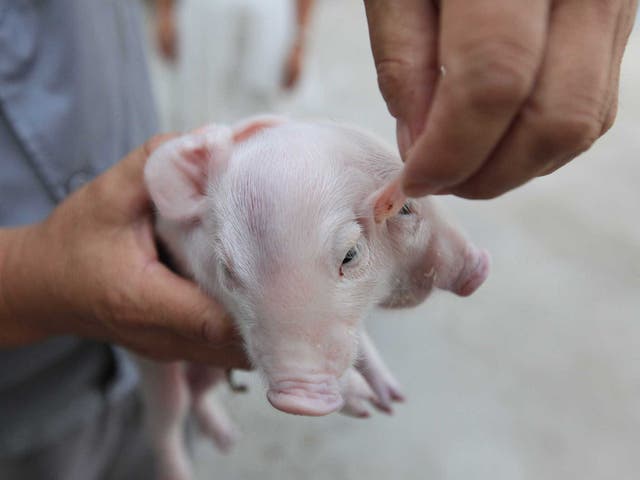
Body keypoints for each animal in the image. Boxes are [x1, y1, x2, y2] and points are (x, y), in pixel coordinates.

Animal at [140, 116, 490, 479]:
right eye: (227, 270)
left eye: (350, 254)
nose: (299, 399)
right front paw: (366, 405)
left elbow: (360, 344)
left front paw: (393, 400)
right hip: (156, 367)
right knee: (165, 421)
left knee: (197, 392)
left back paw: (227, 438)